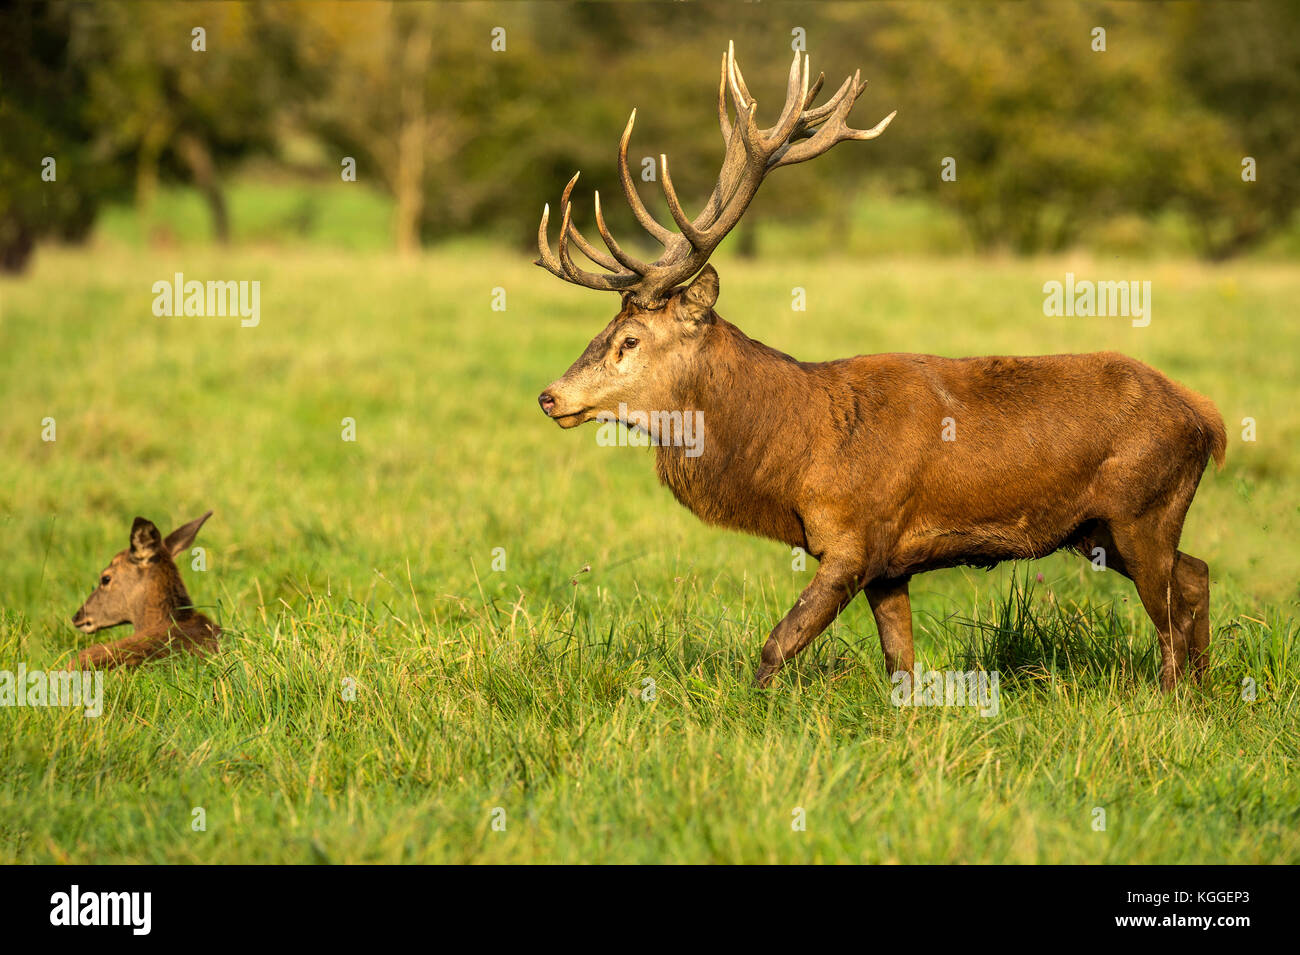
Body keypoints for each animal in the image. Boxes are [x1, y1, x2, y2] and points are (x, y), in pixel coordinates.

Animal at [534, 43, 1226, 691]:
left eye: (629, 340)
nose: (550, 396)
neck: (798, 455)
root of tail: (1208, 421)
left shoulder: (857, 539)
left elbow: (776, 646)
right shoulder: (891, 566)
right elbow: (902, 664)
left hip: (1143, 508)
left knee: (1170, 606)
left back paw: (1171, 700)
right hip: (1098, 529)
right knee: (1196, 575)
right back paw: (1200, 691)